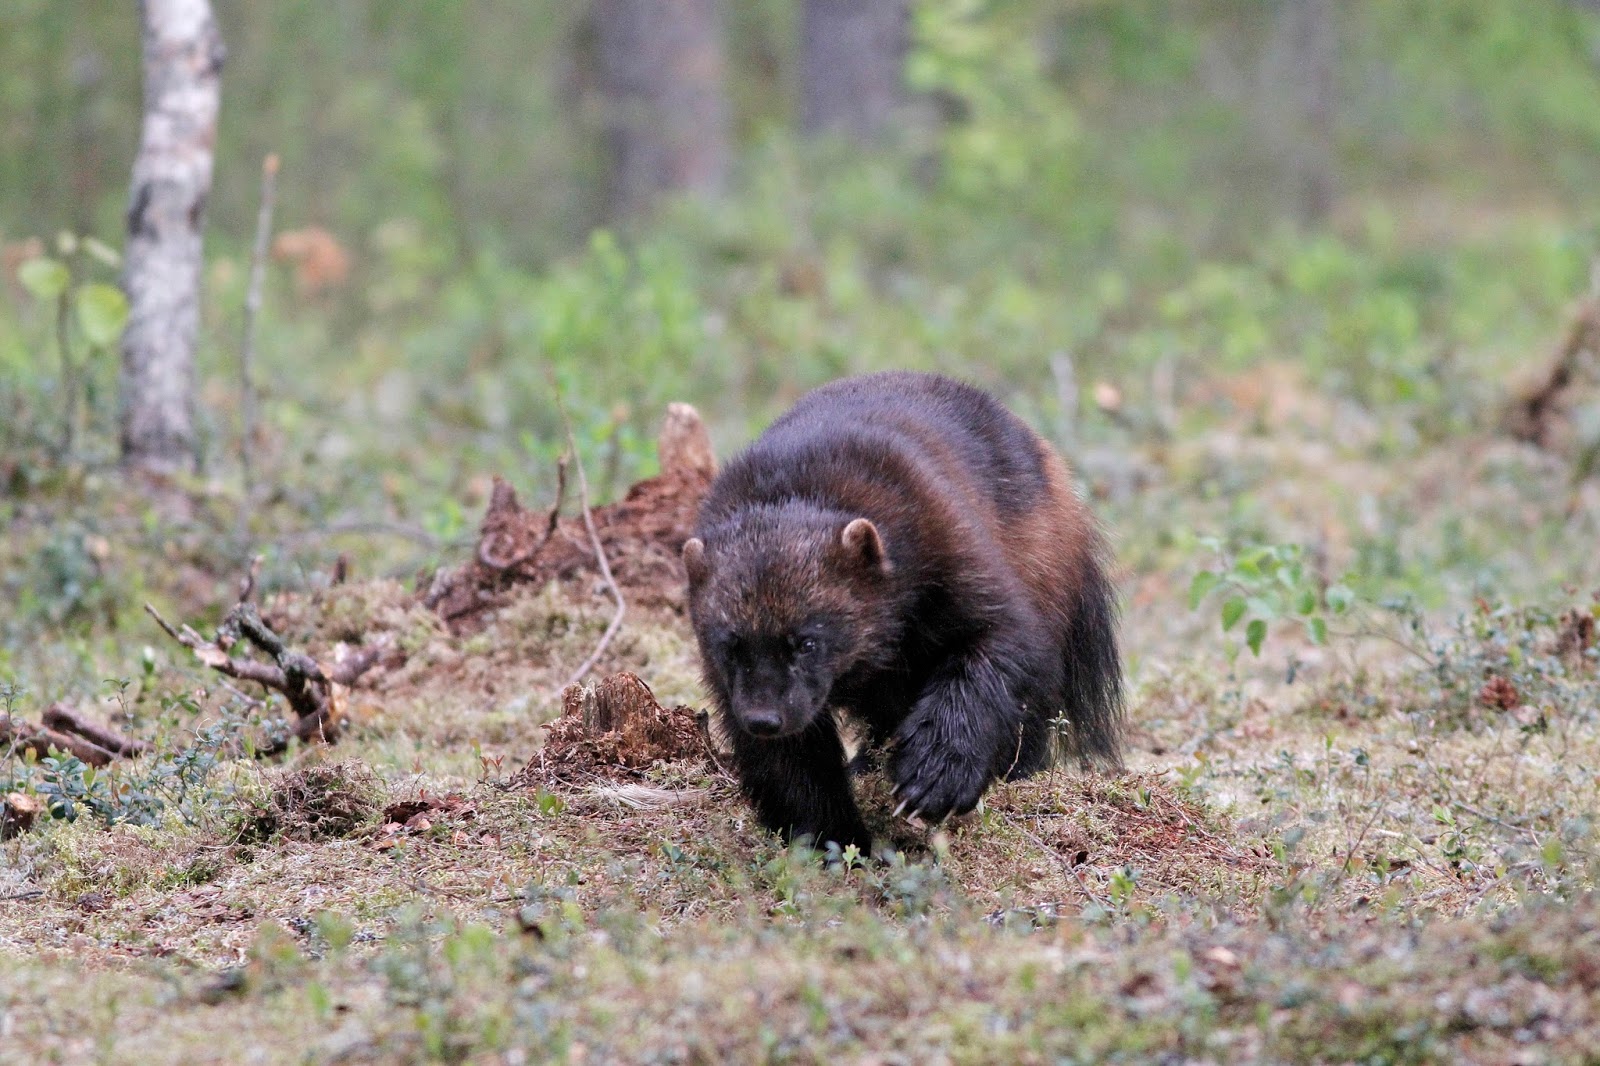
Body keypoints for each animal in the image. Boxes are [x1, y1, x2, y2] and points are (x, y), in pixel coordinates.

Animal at [682, 371, 1122, 853]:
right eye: (730, 644)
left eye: (808, 642)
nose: (764, 718)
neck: (794, 489)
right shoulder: (738, 689)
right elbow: (791, 763)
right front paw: (832, 839)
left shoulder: (947, 542)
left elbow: (1001, 645)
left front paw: (935, 777)